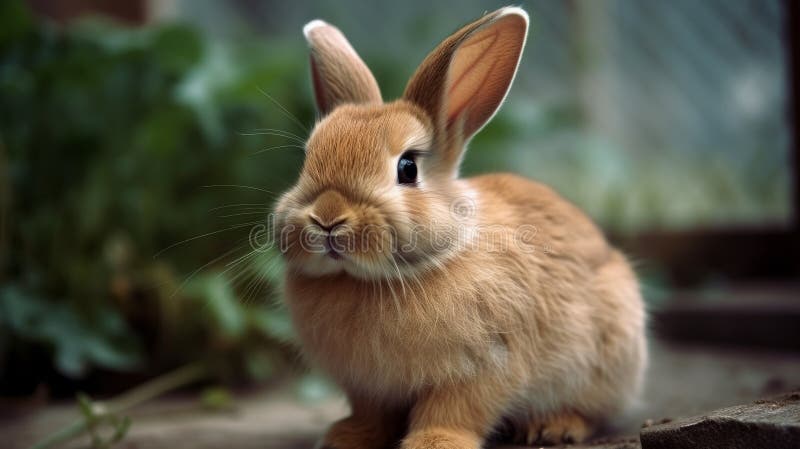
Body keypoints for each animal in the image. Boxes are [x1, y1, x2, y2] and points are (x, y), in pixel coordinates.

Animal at [273, 6, 647, 449]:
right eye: (306, 161)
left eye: (408, 168)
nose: (328, 217)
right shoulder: (367, 387)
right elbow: (371, 415)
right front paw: (345, 437)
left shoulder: (482, 365)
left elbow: (454, 410)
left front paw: (434, 443)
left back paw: (553, 426)